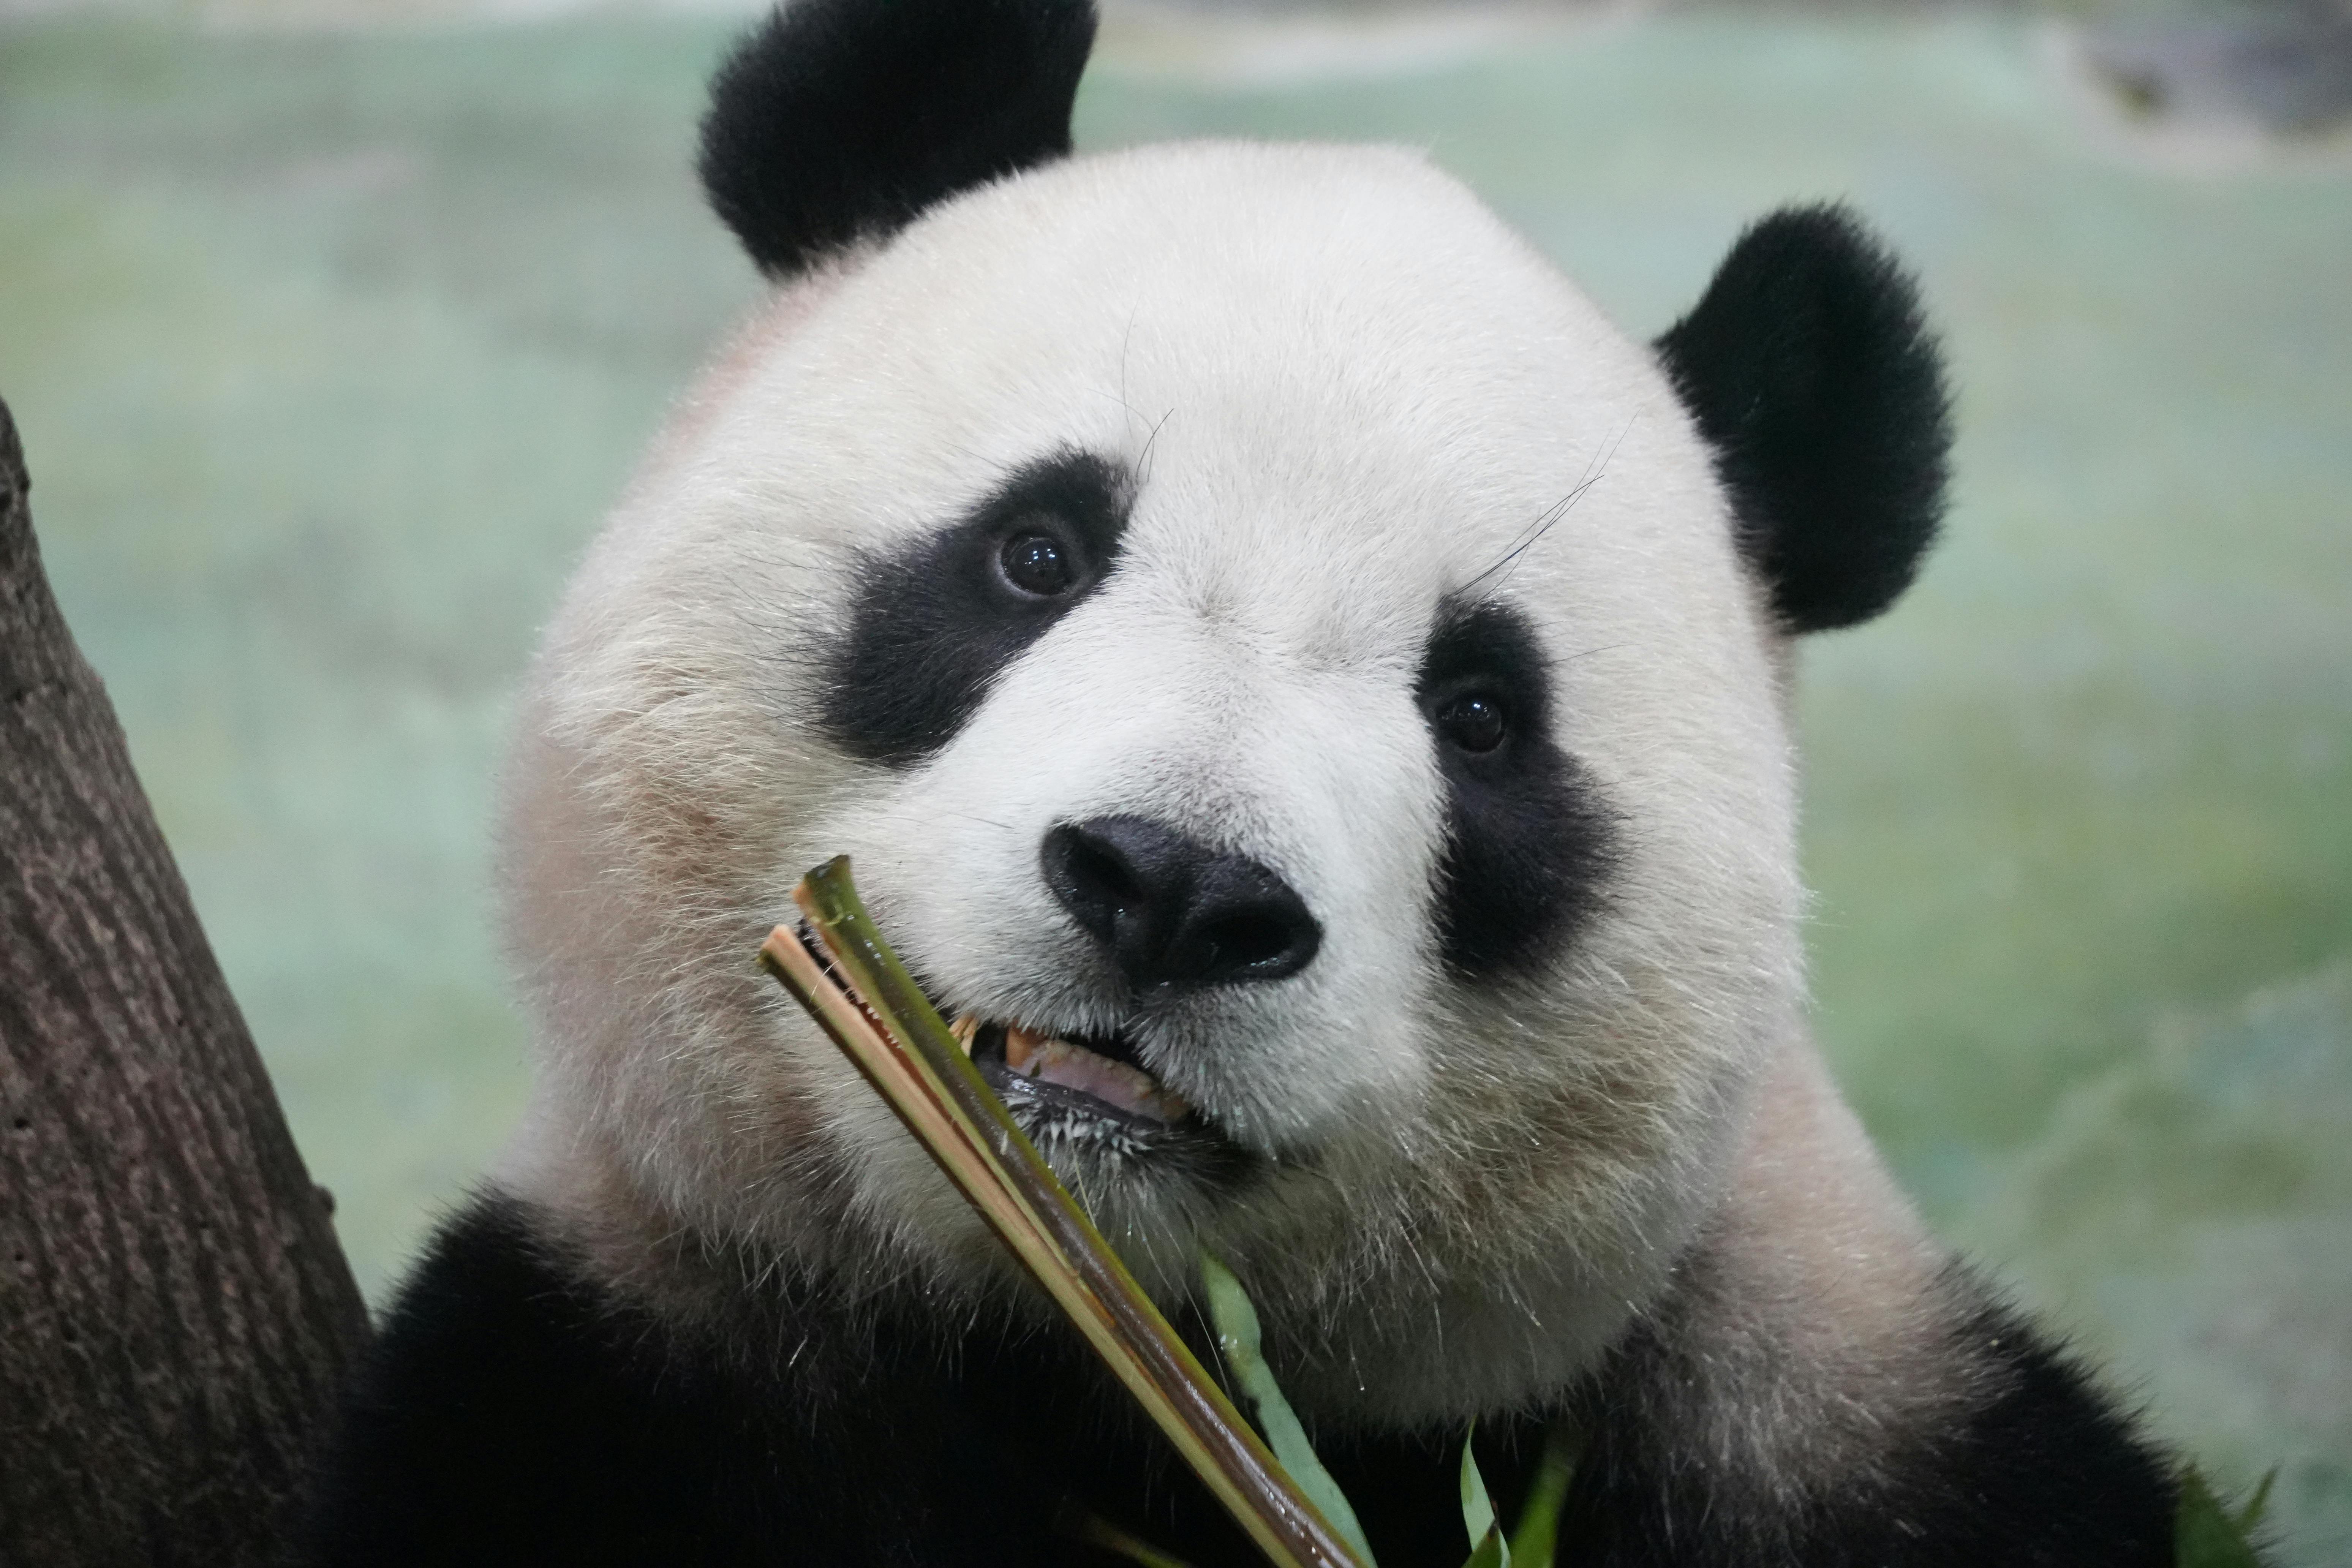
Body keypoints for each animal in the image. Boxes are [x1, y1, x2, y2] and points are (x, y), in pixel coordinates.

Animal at [304, 0, 2183, 1563]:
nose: (1176, 888)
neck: (1100, 1358)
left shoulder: (1810, 1406)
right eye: (1036, 553)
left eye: (1480, 712)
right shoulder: (632, 1368)